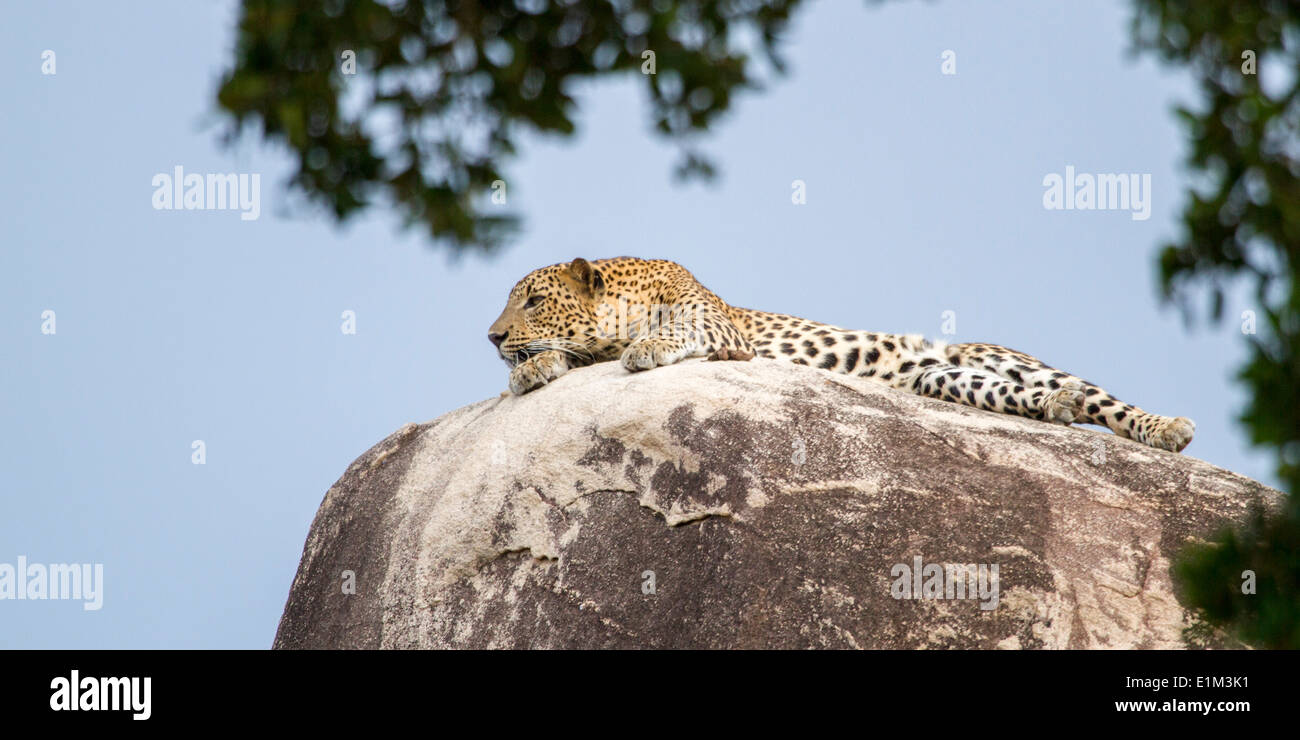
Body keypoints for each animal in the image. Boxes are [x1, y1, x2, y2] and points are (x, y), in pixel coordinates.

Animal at [487, 257, 1195, 452]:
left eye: (532, 300)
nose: (490, 336)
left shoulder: (721, 329)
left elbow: (675, 331)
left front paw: (644, 349)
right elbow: (560, 360)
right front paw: (535, 367)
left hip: (1004, 355)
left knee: (1105, 401)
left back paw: (1165, 427)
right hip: (944, 380)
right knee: (1026, 398)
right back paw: (1056, 407)